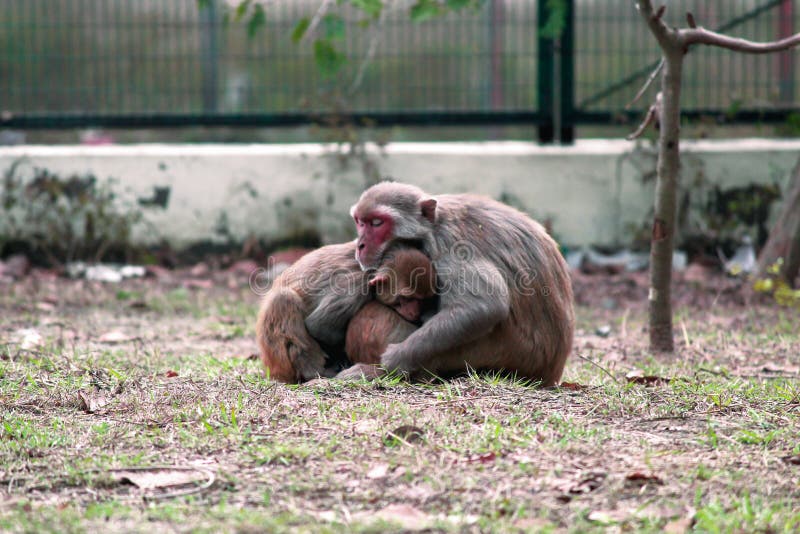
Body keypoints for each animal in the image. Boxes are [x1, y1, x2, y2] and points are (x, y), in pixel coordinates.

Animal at [337, 181, 574, 387]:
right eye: (360, 222)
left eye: (377, 223)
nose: (360, 245)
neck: (433, 227)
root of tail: (551, 373)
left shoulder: (451, 246)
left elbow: (485, 306)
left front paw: (395, 360)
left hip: (494, 351)